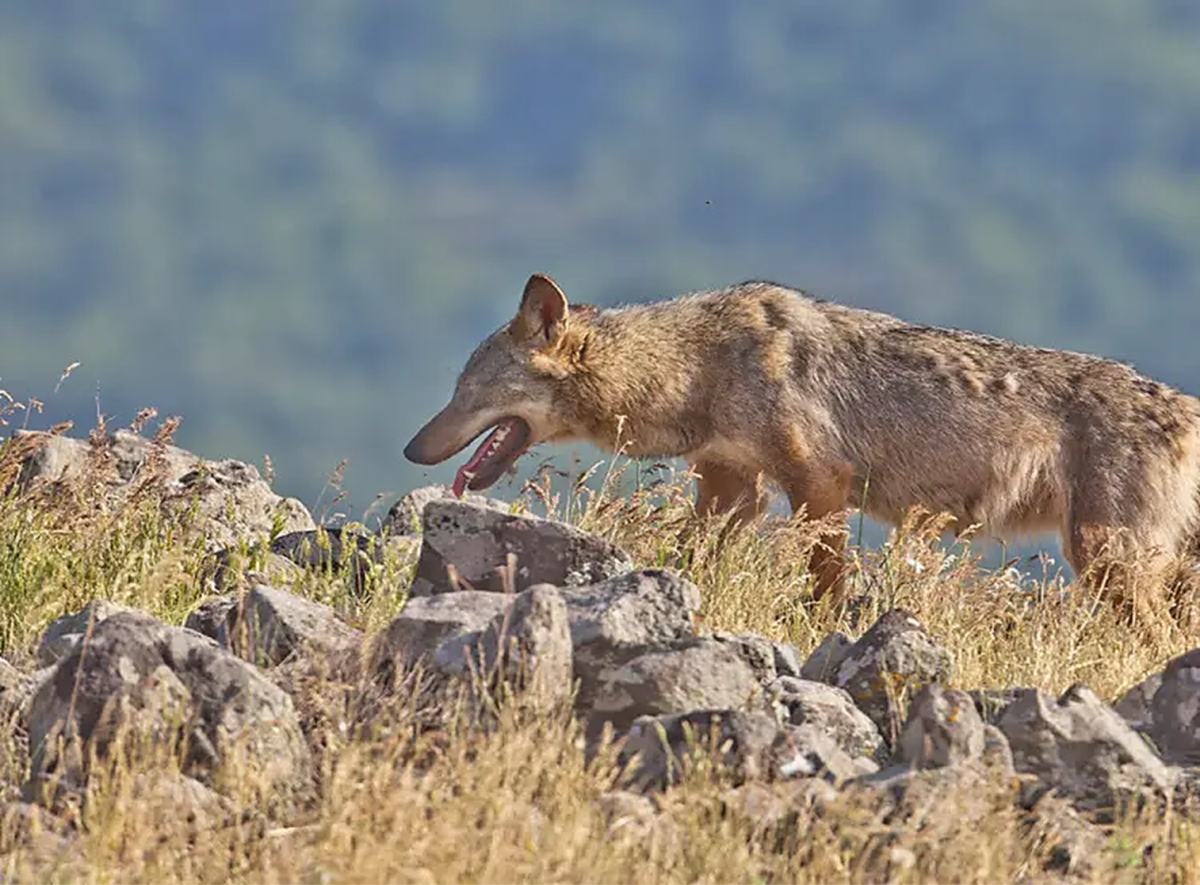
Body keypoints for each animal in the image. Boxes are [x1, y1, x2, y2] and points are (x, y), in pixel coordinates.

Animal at [404, 273, 1200, 612]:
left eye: (470, 391)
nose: (413, 449)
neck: (697, 365)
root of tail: (1185, 406)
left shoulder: (820, 481)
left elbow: (824, 580)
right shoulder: (732, 488)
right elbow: (688, 555)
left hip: (1106, 561)